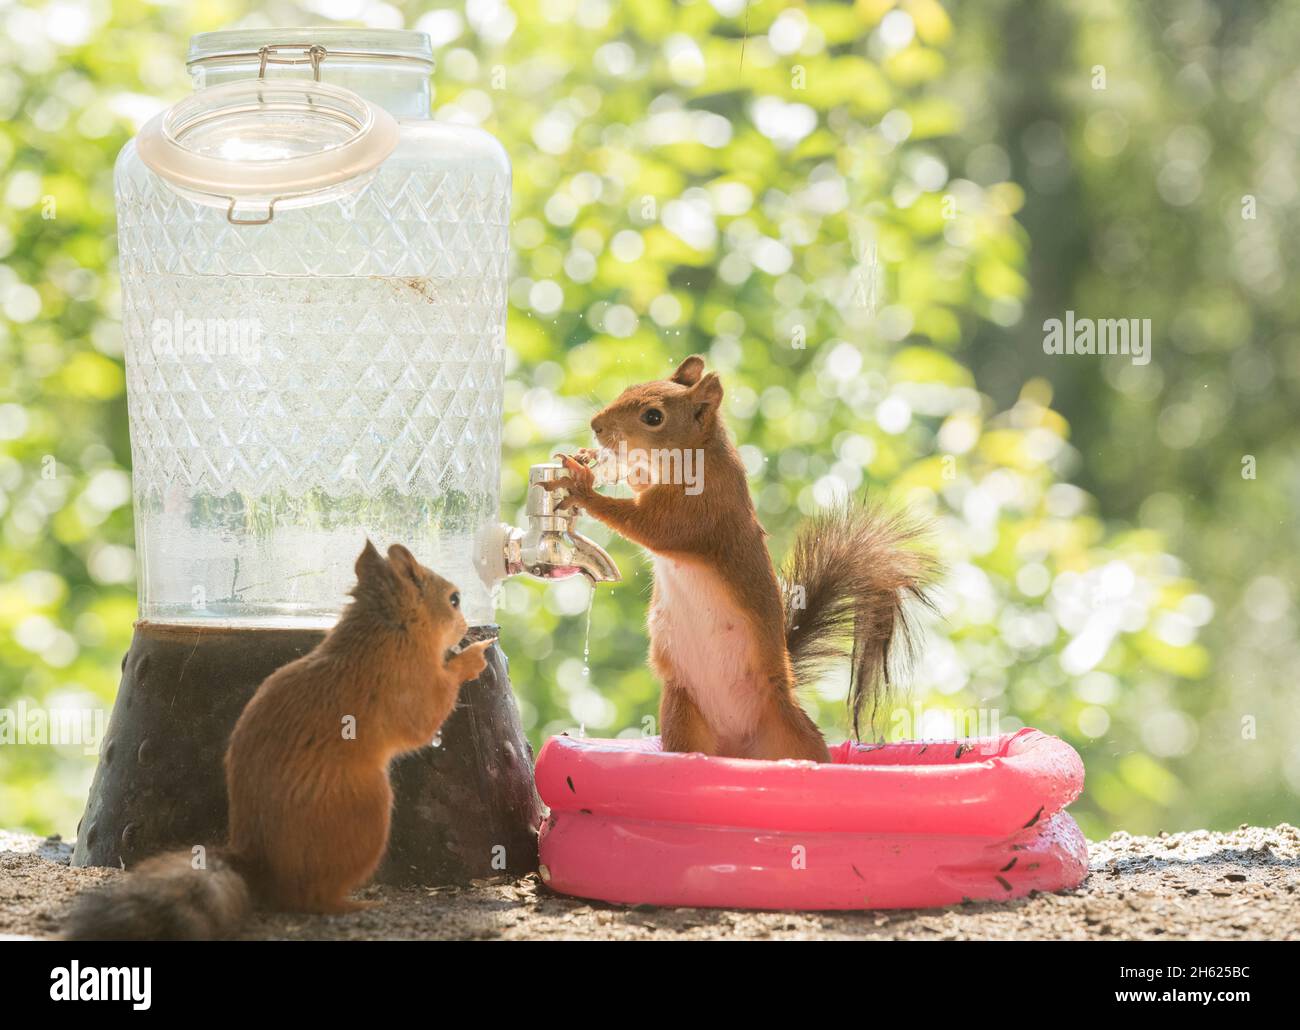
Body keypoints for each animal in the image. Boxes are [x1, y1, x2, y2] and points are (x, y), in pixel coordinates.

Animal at [63, 541, 492, 940]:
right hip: (366, 815)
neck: (385, 633)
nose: (467, 625)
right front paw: (471, 659)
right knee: (309, 898)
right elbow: (425, 720)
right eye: (453, 599)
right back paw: (355, 904)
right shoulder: (406, 688)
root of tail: (258, 864)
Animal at [543, 355, 937, 763]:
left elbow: (652, 527)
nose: (596, 426)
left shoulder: (699, 508)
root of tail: (738, 747)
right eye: (629, 388)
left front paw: (581, 485)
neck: (695, 455)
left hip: (789, 730)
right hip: (684, 714)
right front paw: (592, 460)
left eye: (653, 417)